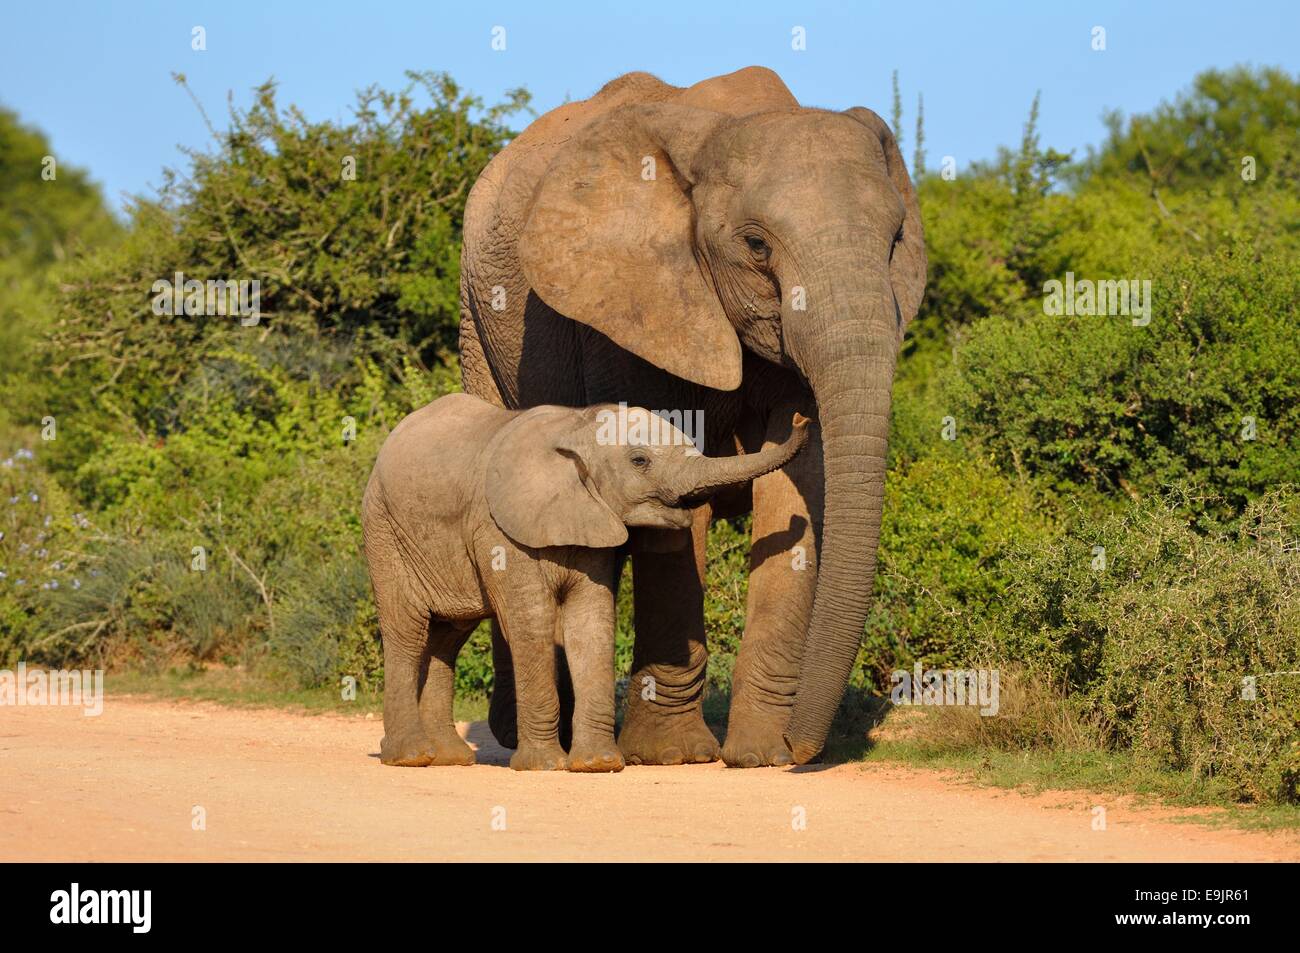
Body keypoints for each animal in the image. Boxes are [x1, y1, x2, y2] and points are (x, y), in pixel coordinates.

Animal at [362, 391, 808, 771]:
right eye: (640, 461)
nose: (801, 418)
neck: (580, 426)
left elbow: (590, 621)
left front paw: (598, 764)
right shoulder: (498, 529)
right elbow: (532, 620)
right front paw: (544, 767)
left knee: (448, 637)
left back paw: (450, 759)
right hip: (385, 531)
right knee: (408, 630)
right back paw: (411, 757)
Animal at [458, 66, 926, 766]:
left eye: (895, 241)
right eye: (756, 244)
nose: (803, 747)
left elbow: (799, 487)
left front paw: (760, 755)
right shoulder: (629, 308)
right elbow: (665, 492)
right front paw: (673, 756)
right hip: (476, 314)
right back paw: (524, 737)